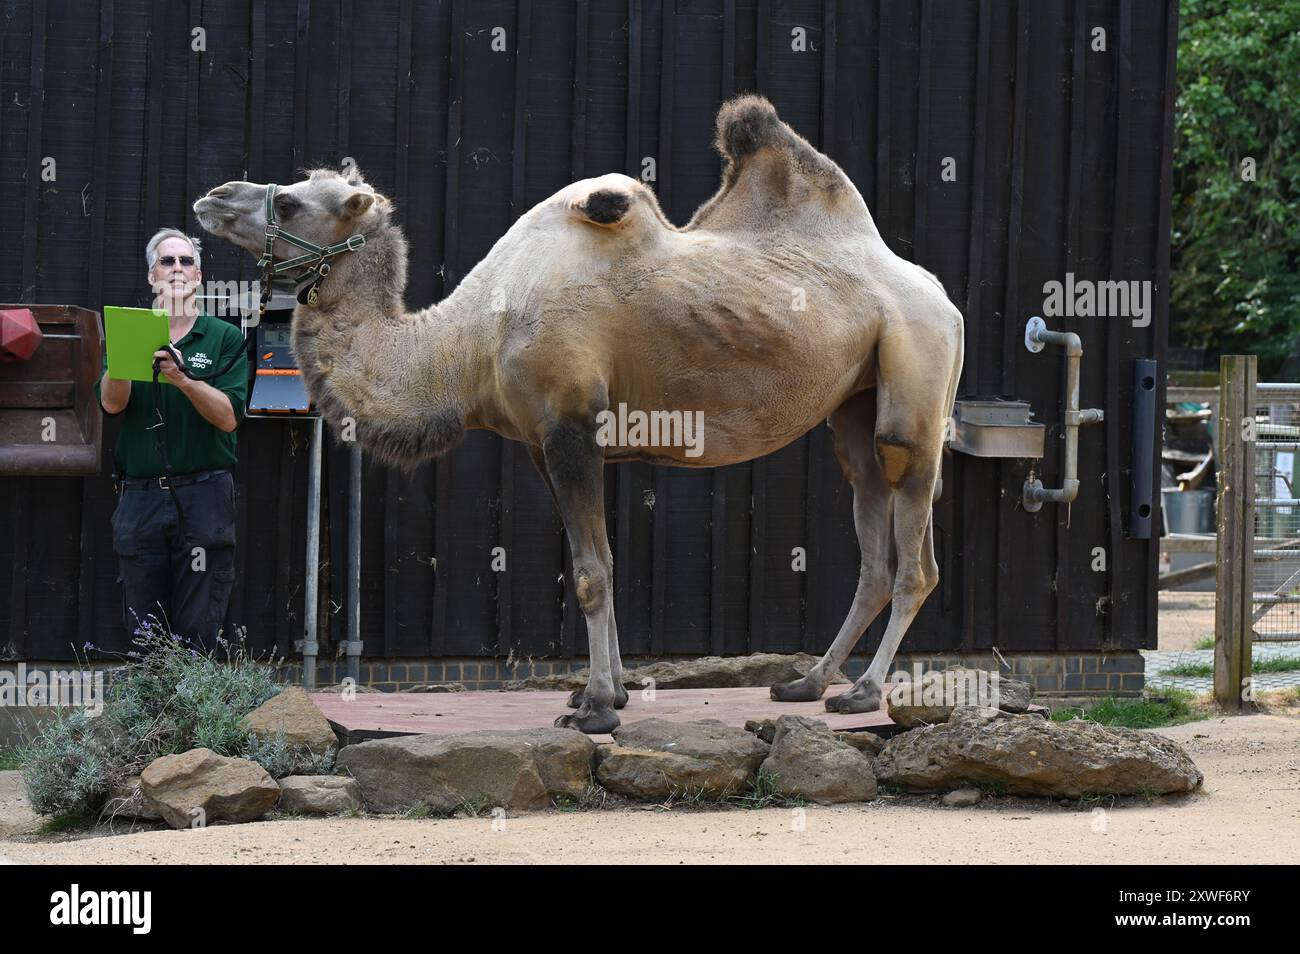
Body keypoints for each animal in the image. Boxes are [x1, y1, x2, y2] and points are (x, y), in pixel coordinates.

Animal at [193, 95, 965, 734]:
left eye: (291, 205)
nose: (212, 196)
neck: (469, 341)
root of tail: (937, 291)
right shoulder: (542, 444)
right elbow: (596, 563)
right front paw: (611, 690)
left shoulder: (569, 429)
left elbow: (592, 573)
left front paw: (594, 708)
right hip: (854, 405)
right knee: (870, 532)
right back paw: (808, 683)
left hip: (916, 374)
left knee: (915, 548)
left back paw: (863, 692)